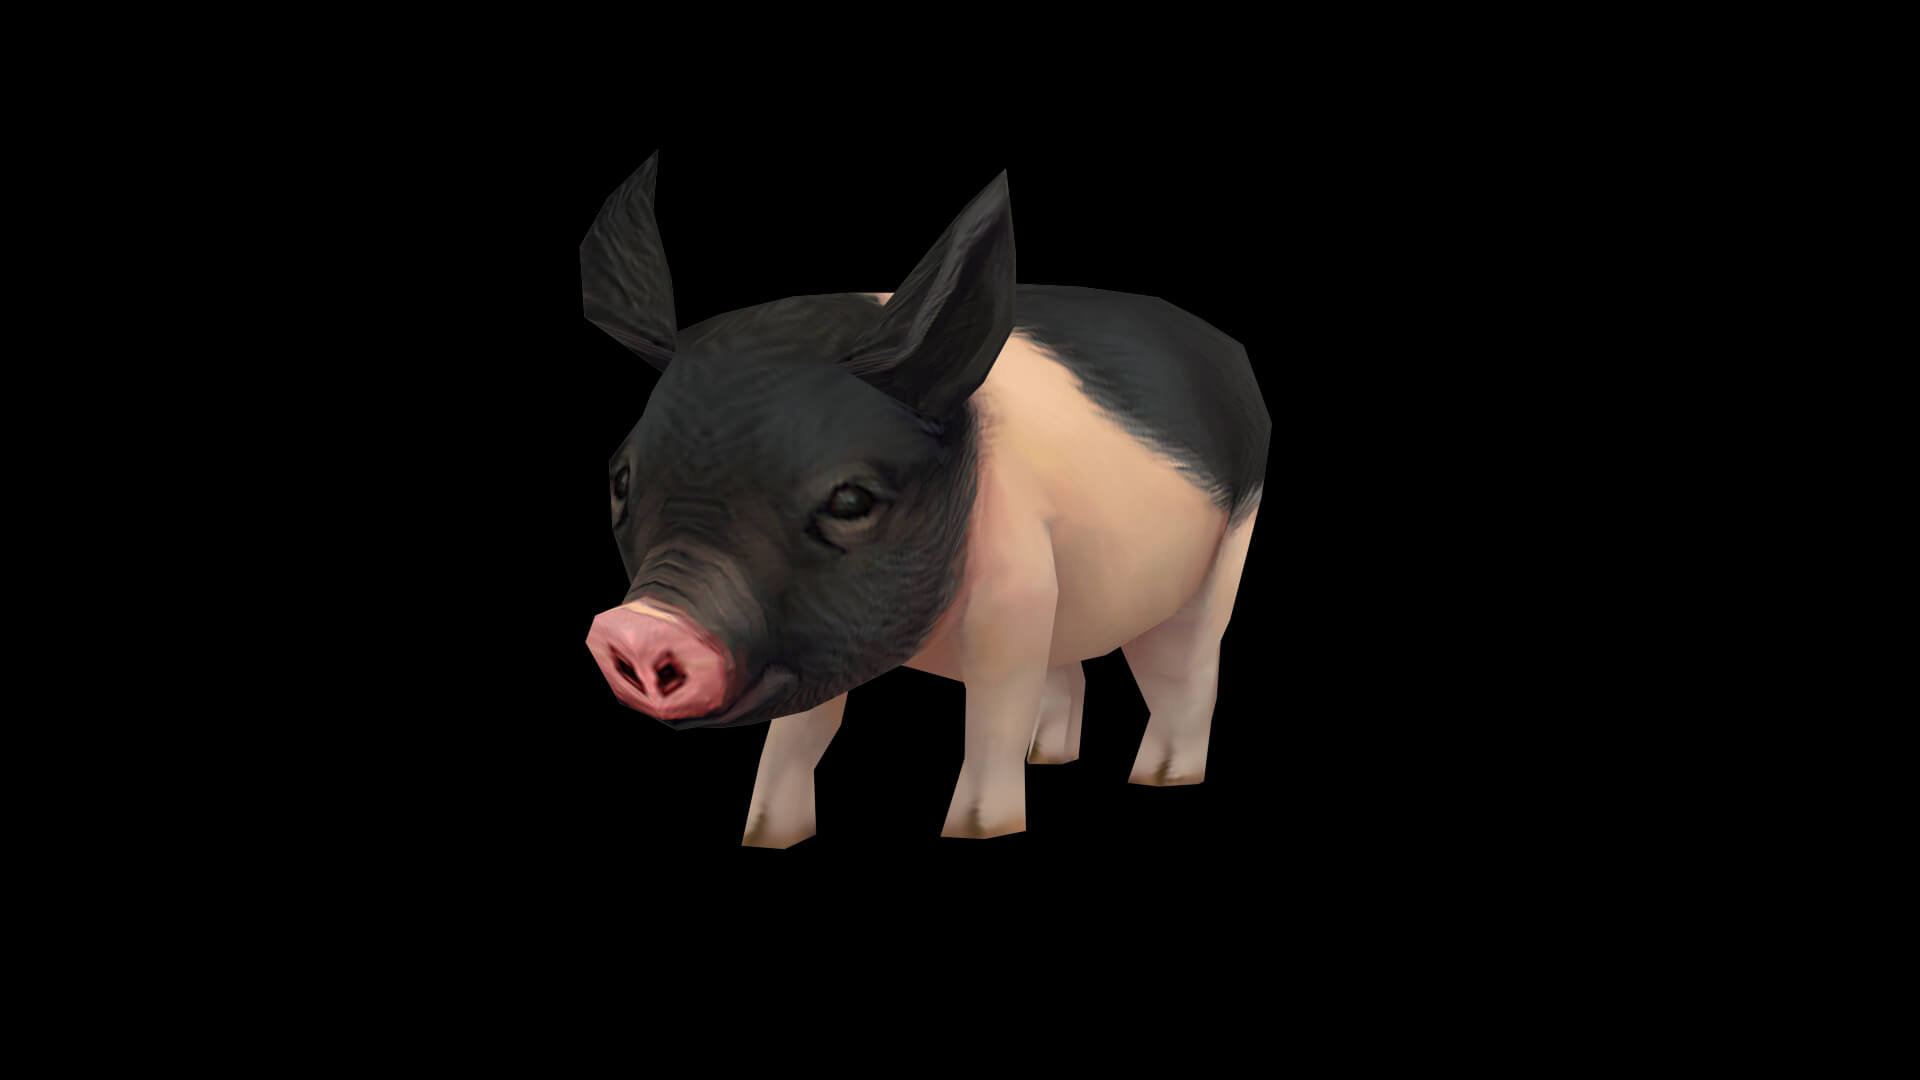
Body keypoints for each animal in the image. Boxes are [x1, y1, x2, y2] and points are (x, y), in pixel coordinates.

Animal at [579, 152, 1268, 847]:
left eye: (851, 500)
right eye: (620, 481)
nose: (640, 626)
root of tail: (1233, 351)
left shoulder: (1015, 592)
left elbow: (992, 721)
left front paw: (978, 832)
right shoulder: (827, 639)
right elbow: (799, 736)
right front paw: (766, 837)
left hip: (1229, 549)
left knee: (1186, 669)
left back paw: (1161, 780)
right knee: (1071, 667)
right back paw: (1049, 759)